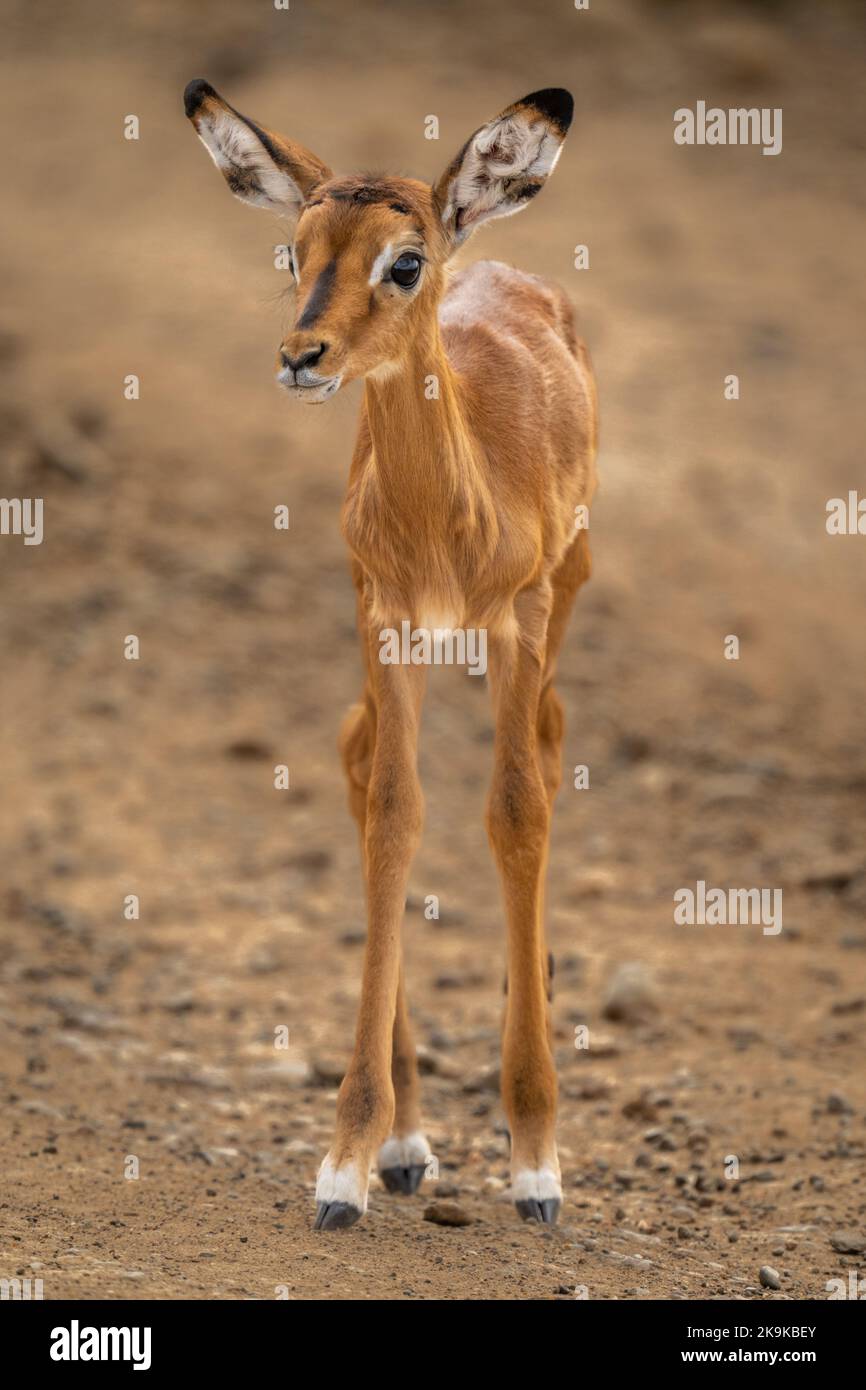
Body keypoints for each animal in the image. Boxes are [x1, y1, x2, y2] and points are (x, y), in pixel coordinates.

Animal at [184, 79, 598, 1230]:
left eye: (403, 260)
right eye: (294, 248)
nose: (300, 356)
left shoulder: (516, 621)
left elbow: (513, 812)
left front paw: (536, 1164)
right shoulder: (386, 623)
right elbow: (394, 815)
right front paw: (351, 1161)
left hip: (562, 607)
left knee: (547, 761)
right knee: (361, 758)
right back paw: (409, 1146)